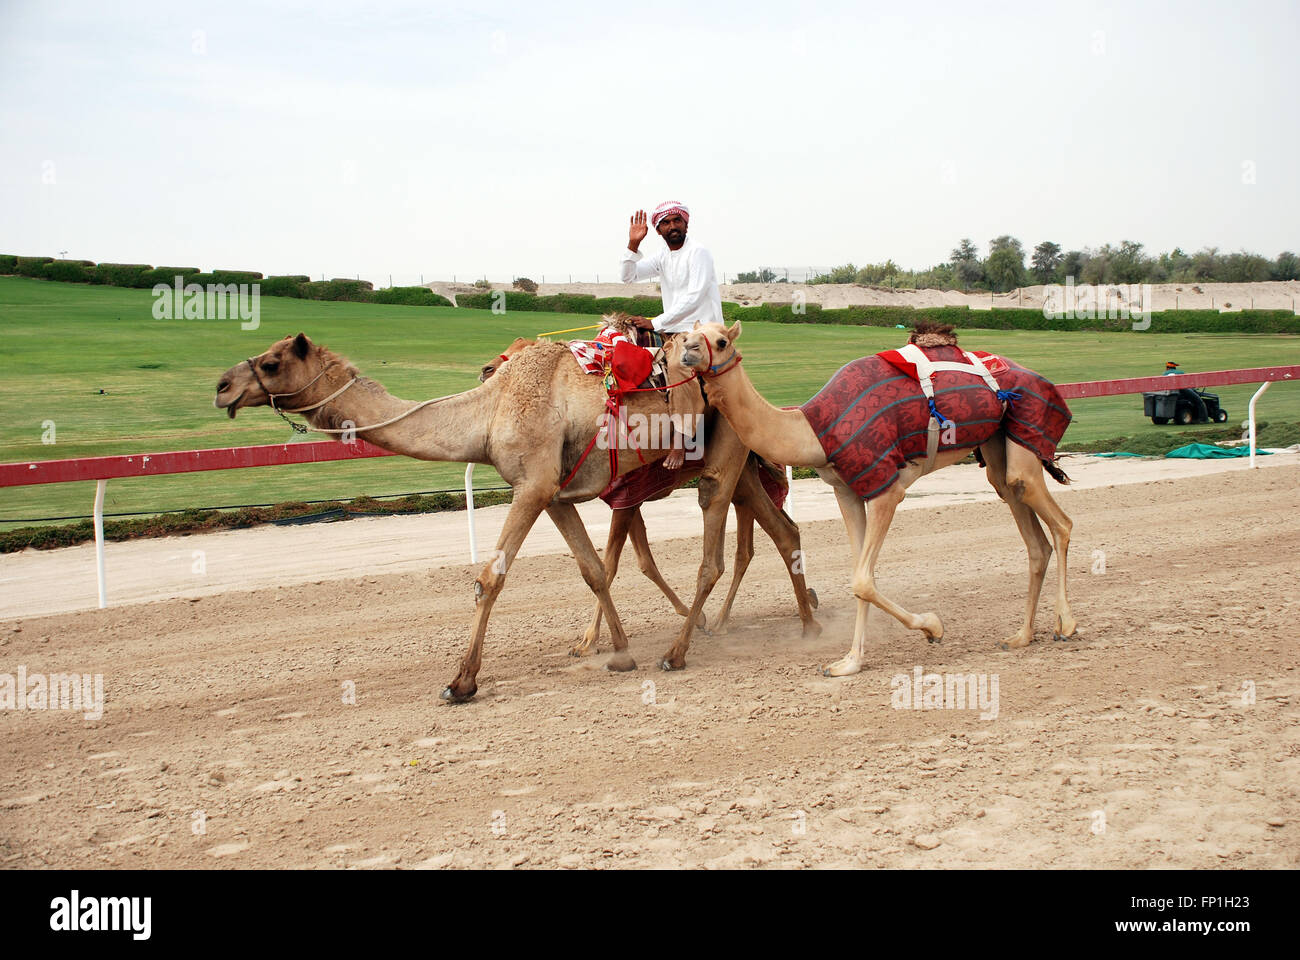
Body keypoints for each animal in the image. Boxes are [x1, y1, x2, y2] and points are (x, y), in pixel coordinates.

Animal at [479, 335, 819, 646]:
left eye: (516, 353)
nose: (486, 369)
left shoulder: (625, 498)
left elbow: (612, 564)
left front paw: (589, 640)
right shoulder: (630, 500)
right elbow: (643, 562)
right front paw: (693, 617)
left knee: (756, 543)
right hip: (744, 478)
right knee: (774, 534)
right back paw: (791, 610)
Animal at [676, 320, 1078, 678]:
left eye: (720, 341)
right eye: (689, 334)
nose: (688, 351)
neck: (813, 432)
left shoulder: (885, 486)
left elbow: (862, 581)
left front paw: (933, 627)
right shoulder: (847, 491)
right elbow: (859, 575)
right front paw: (848, 663)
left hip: (1028, 423)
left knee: (1058, 519)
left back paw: (1066, 624)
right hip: (997, 442)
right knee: (1026, 522)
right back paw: (1021, 636)